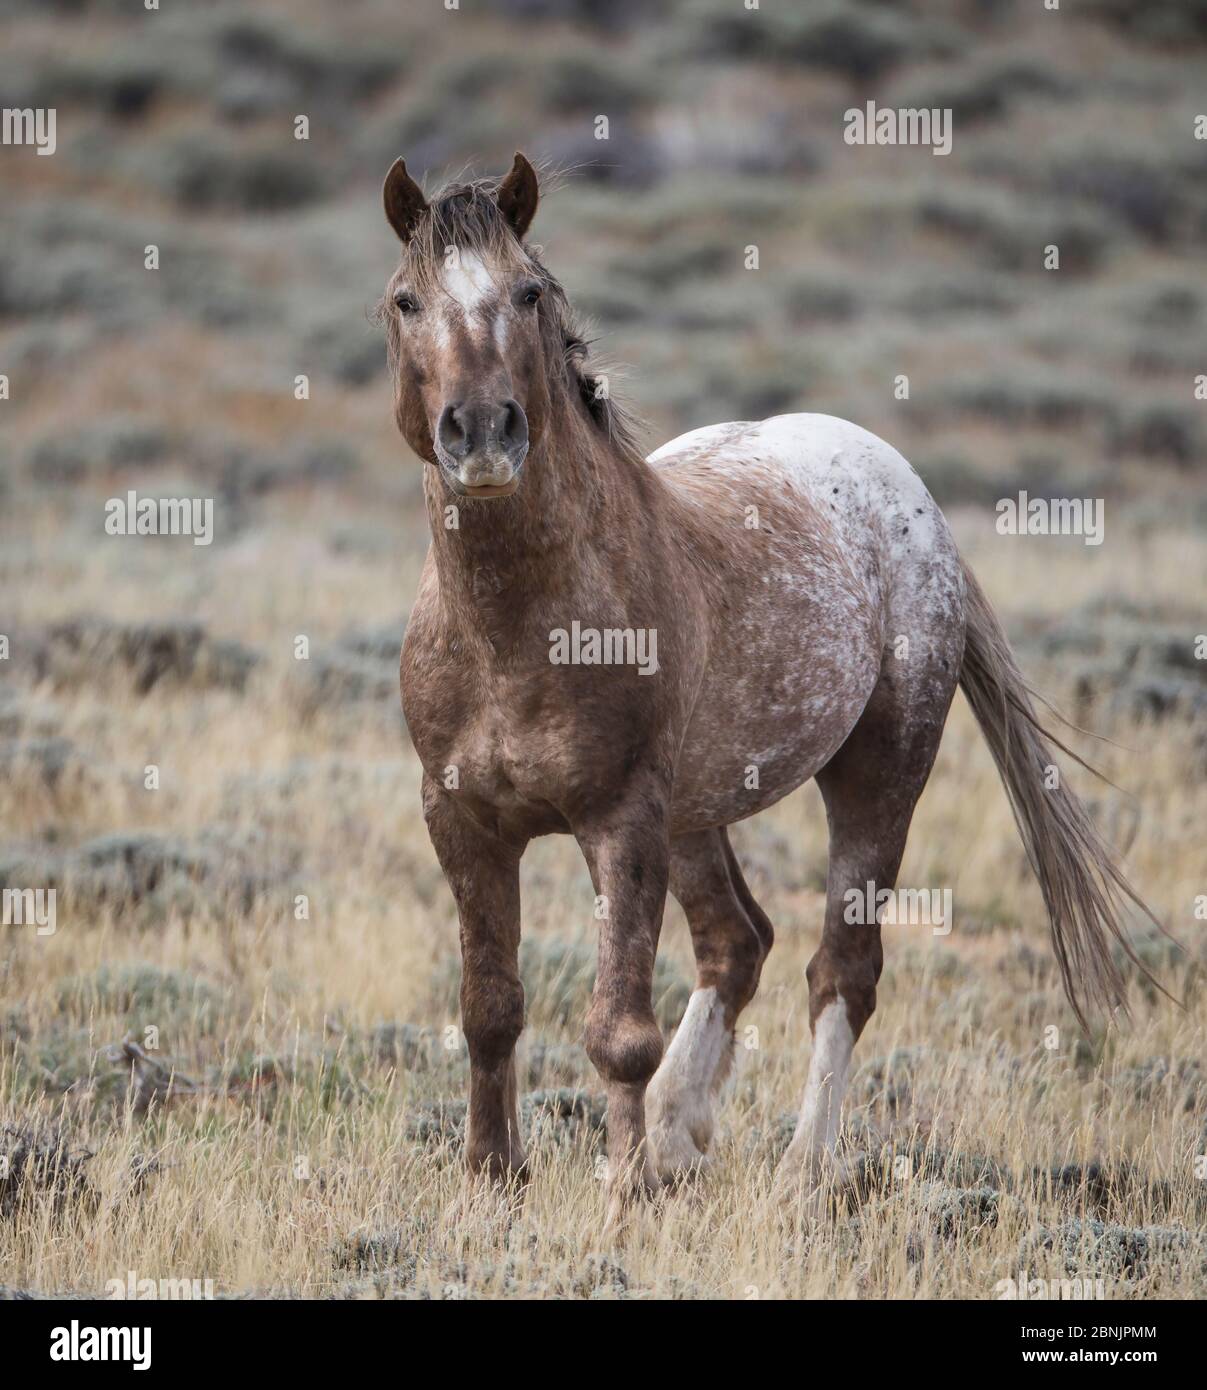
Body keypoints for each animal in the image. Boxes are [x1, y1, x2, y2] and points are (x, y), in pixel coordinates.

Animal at [379, 153, 1158, 1219]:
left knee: (842, 973)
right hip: (695, 817)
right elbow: (489, 1008)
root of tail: (910, 493)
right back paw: (681, 1134)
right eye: (404, 300)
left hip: (872, 780)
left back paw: (797, 1172)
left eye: (528, 292)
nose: (483, 432)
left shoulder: (619, 820)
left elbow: (618, 1030)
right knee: (736, 941)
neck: (512, 624)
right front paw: (495, 1180)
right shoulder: (461, 821)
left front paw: (623, 1197)